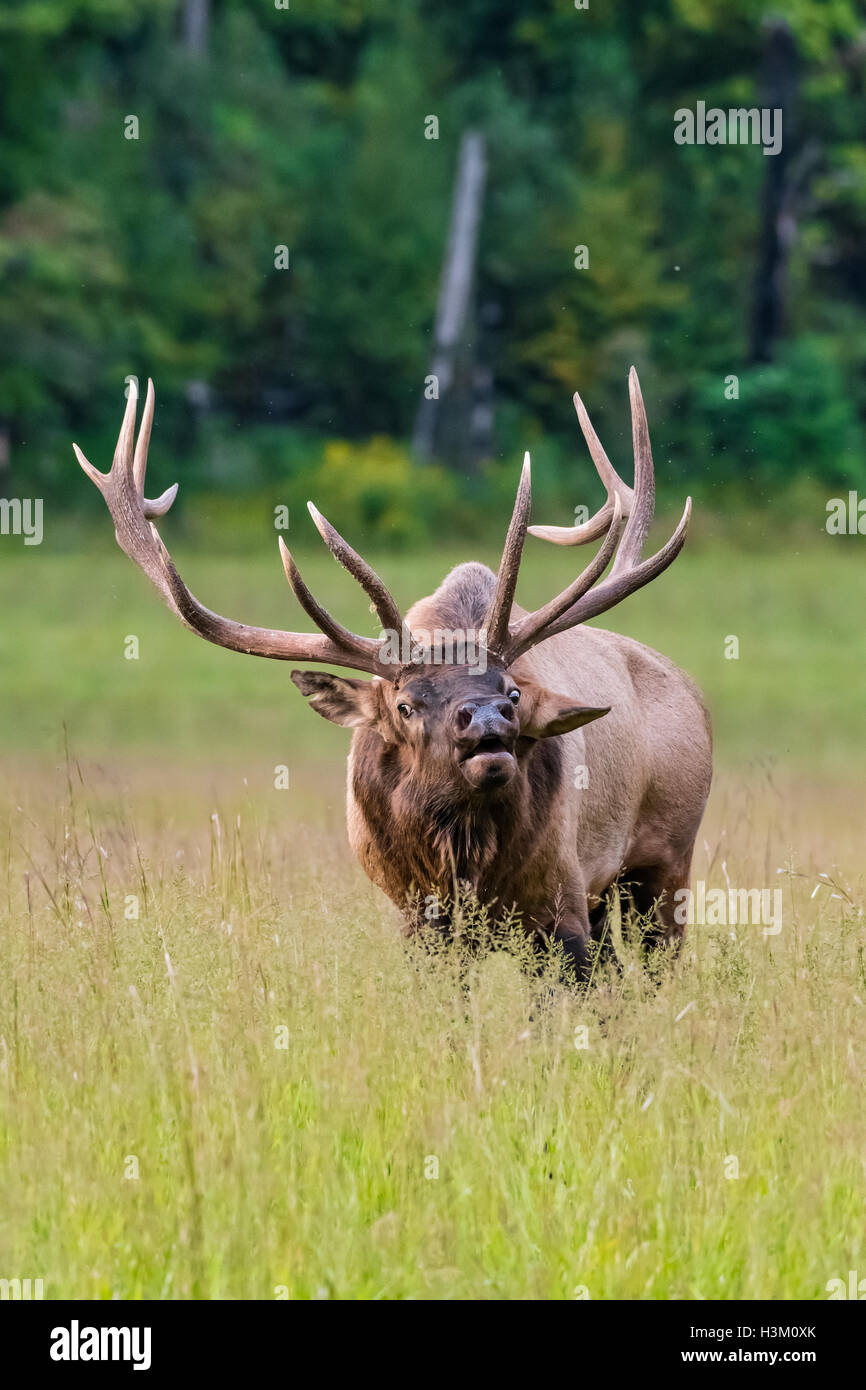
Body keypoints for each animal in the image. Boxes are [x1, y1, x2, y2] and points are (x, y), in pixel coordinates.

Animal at [75, 370, 712, 979]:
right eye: (405, 705)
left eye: (512, 692)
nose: (487, 719)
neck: (464, 859)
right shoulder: (415, 915)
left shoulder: (560, 901)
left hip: (664, 859)